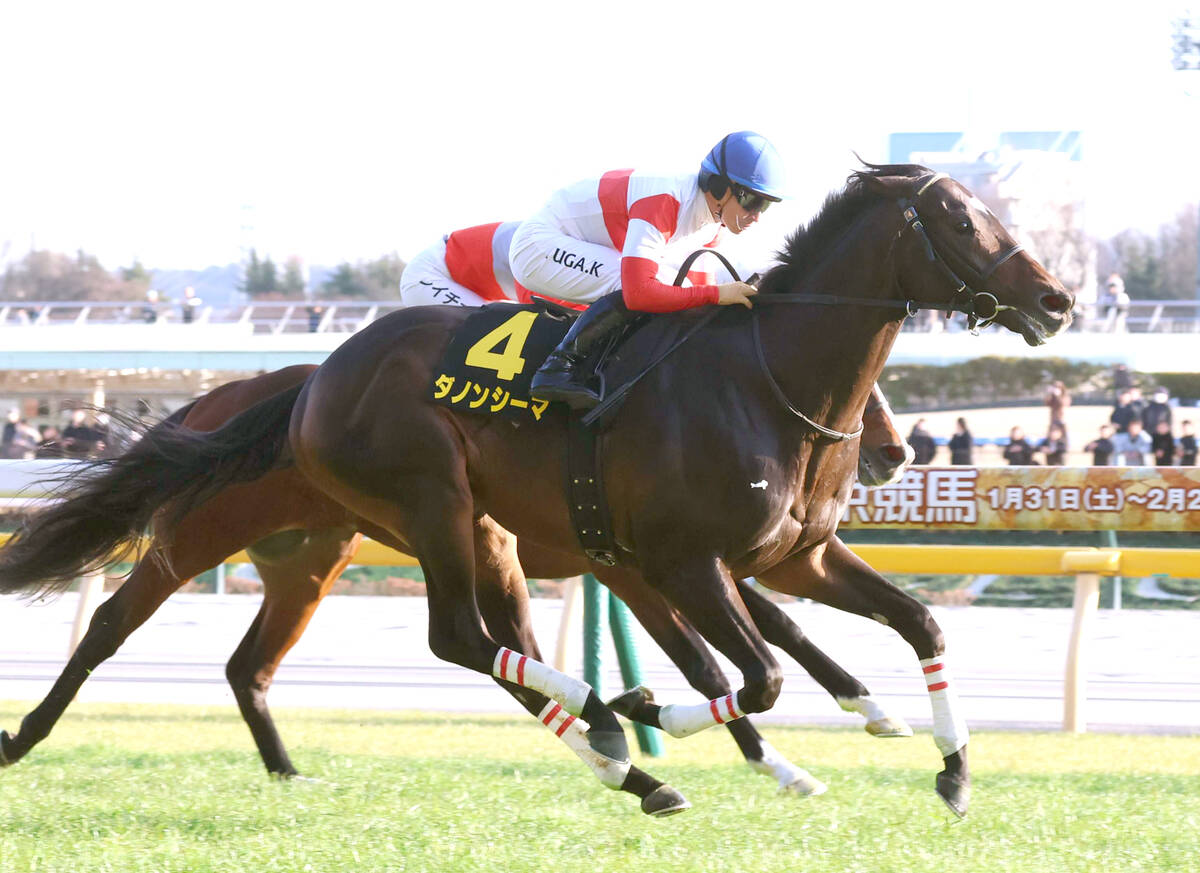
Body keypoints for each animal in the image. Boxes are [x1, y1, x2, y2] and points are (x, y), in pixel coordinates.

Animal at [0, 365, 912, 798]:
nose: (895, 452)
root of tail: (221, 400)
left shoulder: (666, 560)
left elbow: (761, 640)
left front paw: (837, 726)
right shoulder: (643, 564)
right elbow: (720, 660)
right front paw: (772, 749)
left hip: (313, 557)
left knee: (250, 665)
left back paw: (291, 771)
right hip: (203, 534)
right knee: (110, 623)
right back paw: (23, 735)